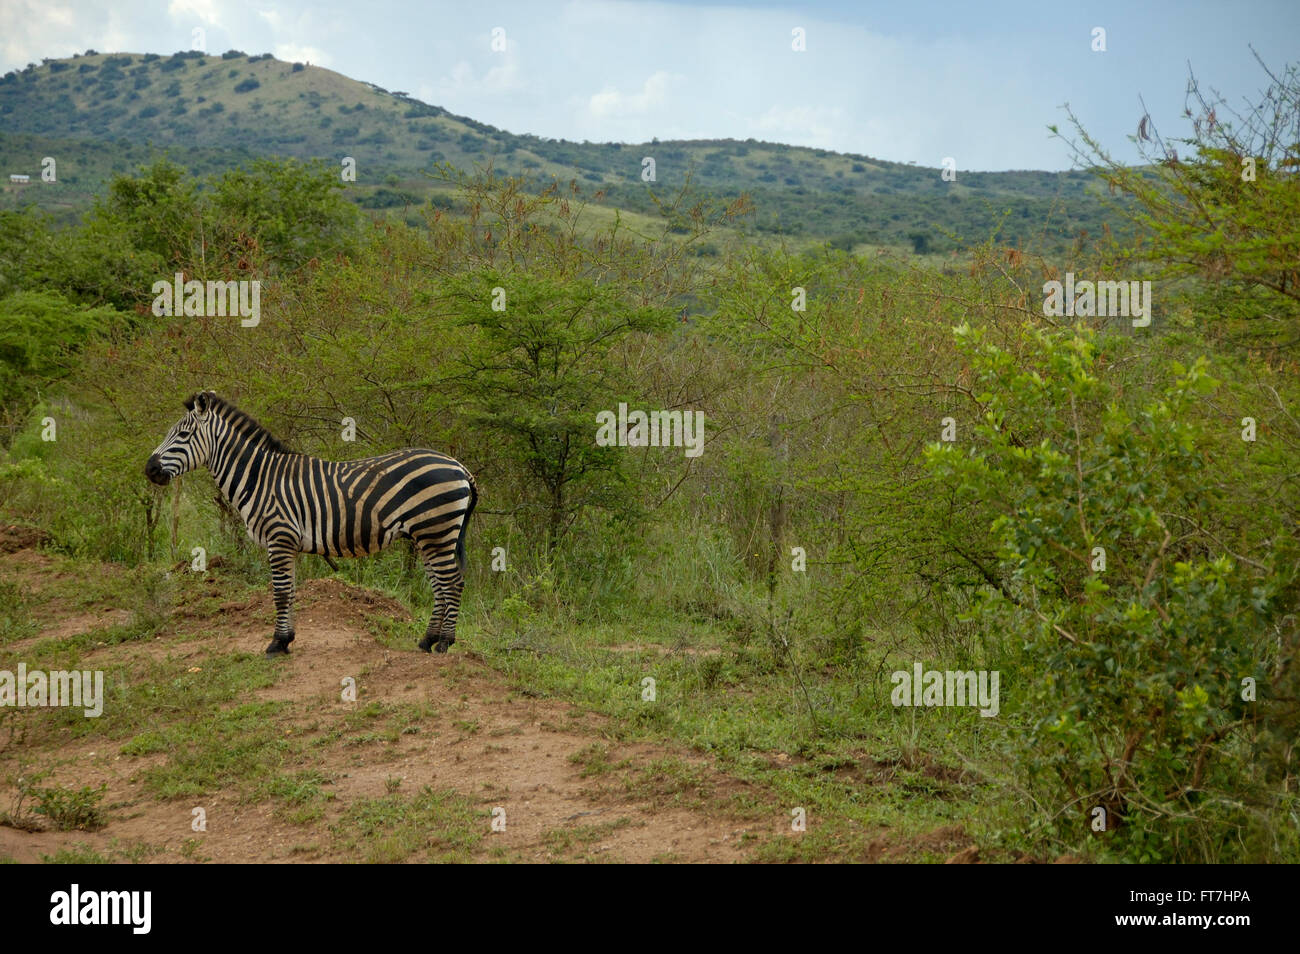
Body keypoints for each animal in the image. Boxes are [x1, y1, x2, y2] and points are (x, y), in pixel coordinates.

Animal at [145, 391, 477, 657]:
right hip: (429, 536)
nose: (149, 469)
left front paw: (277, 643)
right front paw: (287, 639)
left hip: (436, 531)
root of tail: (459, 466)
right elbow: (290, 591)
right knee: (439, 585)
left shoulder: (279, 537)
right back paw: (427, 640)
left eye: (182, 436)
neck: (260, 477)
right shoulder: (288, 543)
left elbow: (280, 592)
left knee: (453, 582)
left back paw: (444, 643)